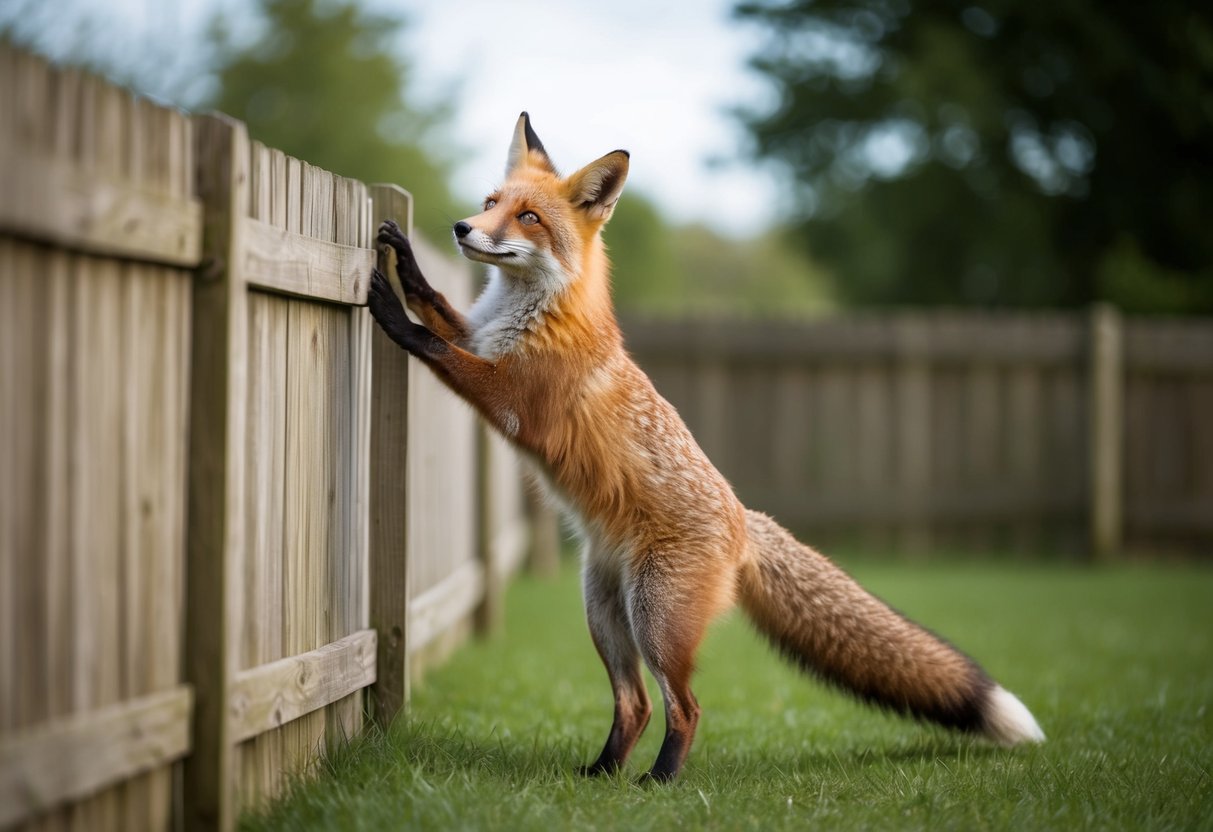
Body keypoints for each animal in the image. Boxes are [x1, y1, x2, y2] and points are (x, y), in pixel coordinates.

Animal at [367, 112, 1045, 782]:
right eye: (491, 204)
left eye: (528, 217)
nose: (463, 228)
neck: (528, 317)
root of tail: (744, 519)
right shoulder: (480, 339)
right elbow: (442, 310)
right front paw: (406, 265)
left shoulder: (510, 399)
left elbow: (435, 345)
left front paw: (392, 314)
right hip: (605, 614)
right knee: (636, 704)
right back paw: (603, 774)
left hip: (655, 620)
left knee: (686, 708)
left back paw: (659, 781)